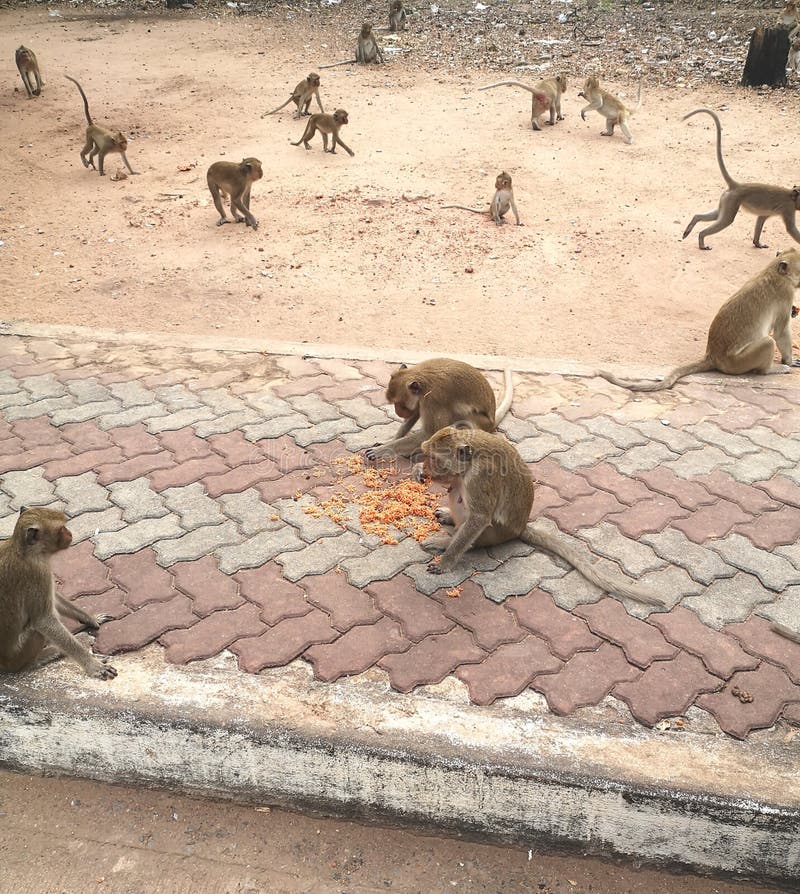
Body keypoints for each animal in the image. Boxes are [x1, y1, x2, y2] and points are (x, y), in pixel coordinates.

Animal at [0, 507, 117, 678]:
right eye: (62, 528)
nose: (69, 533)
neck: (23, 549)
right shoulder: (38, 573)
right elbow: (44, 620)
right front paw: (93, 665)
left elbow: (55, 599)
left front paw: (91, 618)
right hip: (16, 657)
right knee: (36, 631)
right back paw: (40, 658)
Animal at [365, 358, 514, 462]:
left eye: (399, 403)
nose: (398, 412)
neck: (422, 378)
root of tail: (492, 422)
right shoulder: (422, 400)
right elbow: (415, 414)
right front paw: (390, 440)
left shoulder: (433, 399)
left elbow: (429, 433)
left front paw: (382, 450)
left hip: (479, 422)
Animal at [413, 425, 666, 606]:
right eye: (427, 456)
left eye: (435, 458)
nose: (426, 467)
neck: (472, 456)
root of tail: (520, 526)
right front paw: (418, 472)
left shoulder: (480, 477)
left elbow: (479, 518)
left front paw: (447, 561)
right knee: (456, 487)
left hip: (496, 532)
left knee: (467, 507)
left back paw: (448, 540)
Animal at [596, 249, 800, 392]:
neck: (774, 270)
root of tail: (713, 356)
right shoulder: (786, 293)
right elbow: (781, 332)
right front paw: (789, 362)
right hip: (737, 363)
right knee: (768, 342)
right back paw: (769, 370)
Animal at [682, 109, 800, 250]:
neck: (792, 195)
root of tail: (737, 186)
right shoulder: (788, 208)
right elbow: (791, 229)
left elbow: (761, 218)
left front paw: (757, 243)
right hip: (733, 200)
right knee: (726, 220)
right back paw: (702, 237)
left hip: (727, 199)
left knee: (717, 215)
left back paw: (694, 221)